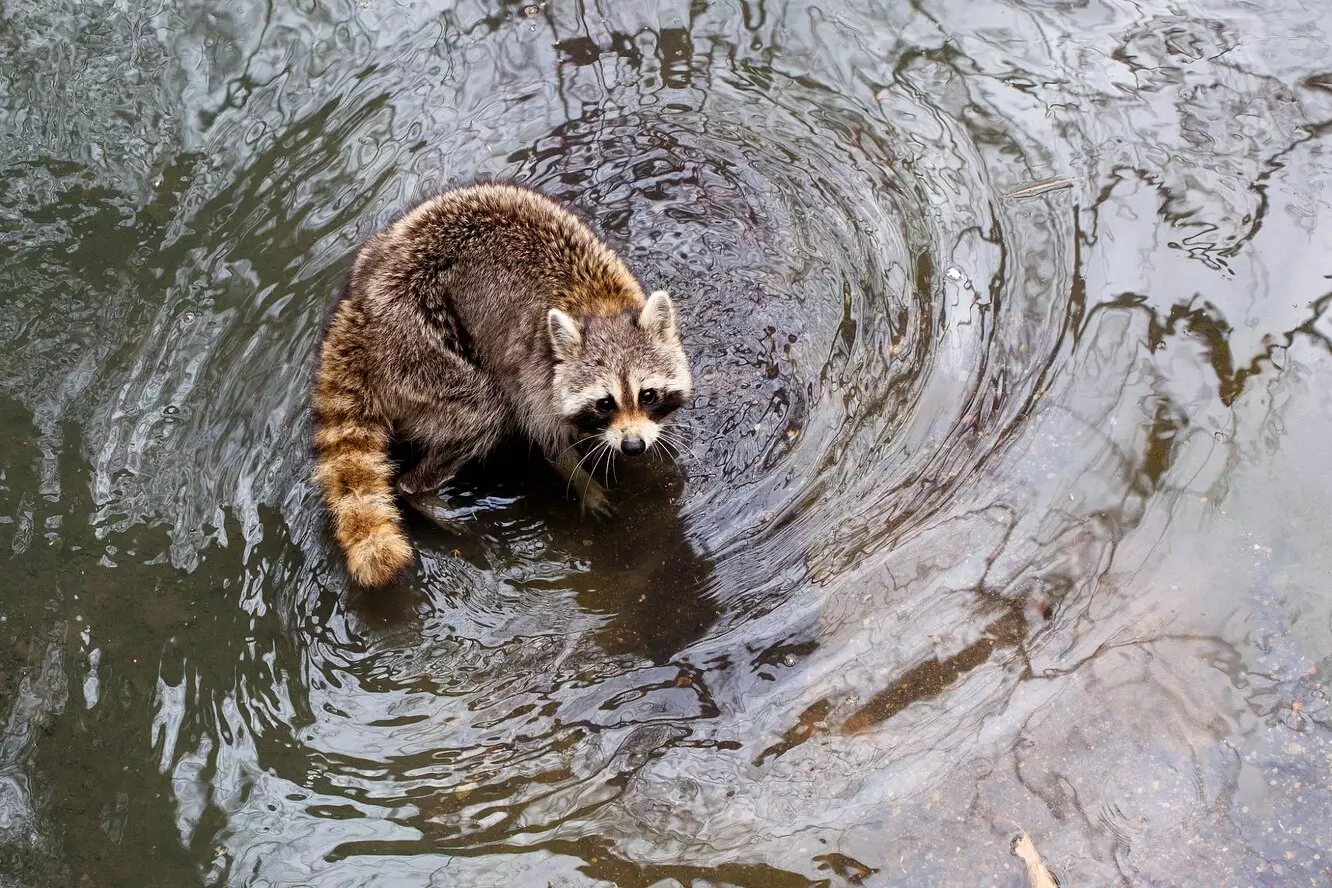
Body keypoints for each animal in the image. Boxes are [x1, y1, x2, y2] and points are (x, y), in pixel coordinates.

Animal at [307, 183, 692, 585]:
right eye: (605, 403)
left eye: (647, 395)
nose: (633, 446)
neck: (597, 306)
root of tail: (358, 310)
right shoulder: (533, 371)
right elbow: (548, 440)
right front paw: (582, 481)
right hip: (417, 343)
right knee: (483, 411)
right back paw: (419, 490)